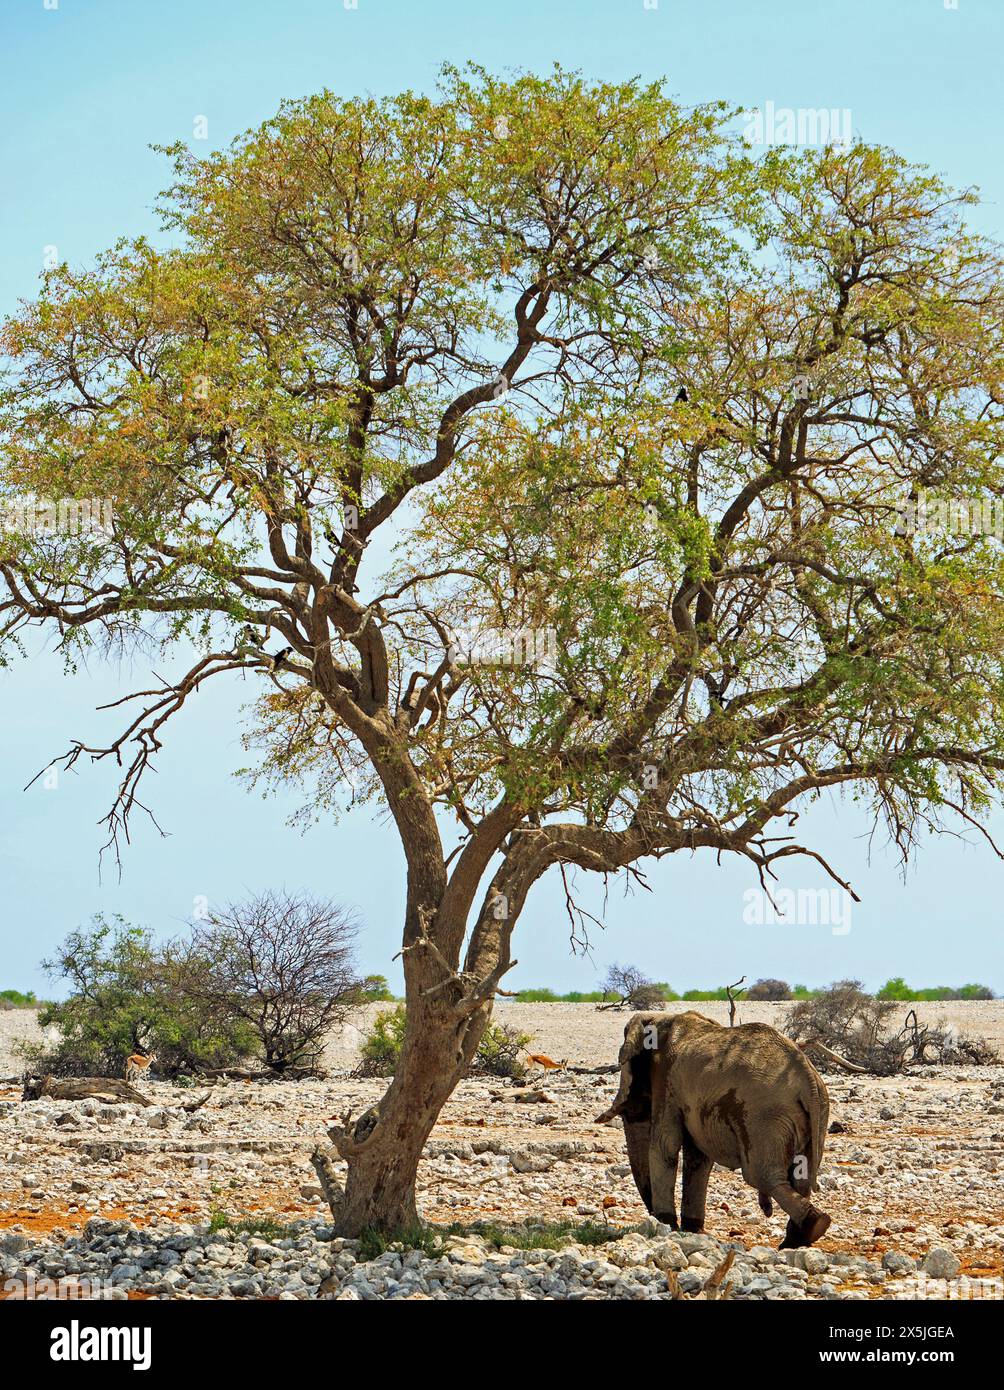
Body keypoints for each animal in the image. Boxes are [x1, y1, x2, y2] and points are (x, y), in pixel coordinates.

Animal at [596, 1011, 832, 1248]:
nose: (653, 1215)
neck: (660, 1017)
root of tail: (809, 1079)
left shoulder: (667, 1081)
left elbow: (665, 1146)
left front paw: (668, 1225)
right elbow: (698, 1158)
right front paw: (691, 1229)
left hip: (764, 1116)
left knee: (761, 1175)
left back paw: (813, 1227)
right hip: (815, 1113)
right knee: (800, 1176)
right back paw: (799, 1239)